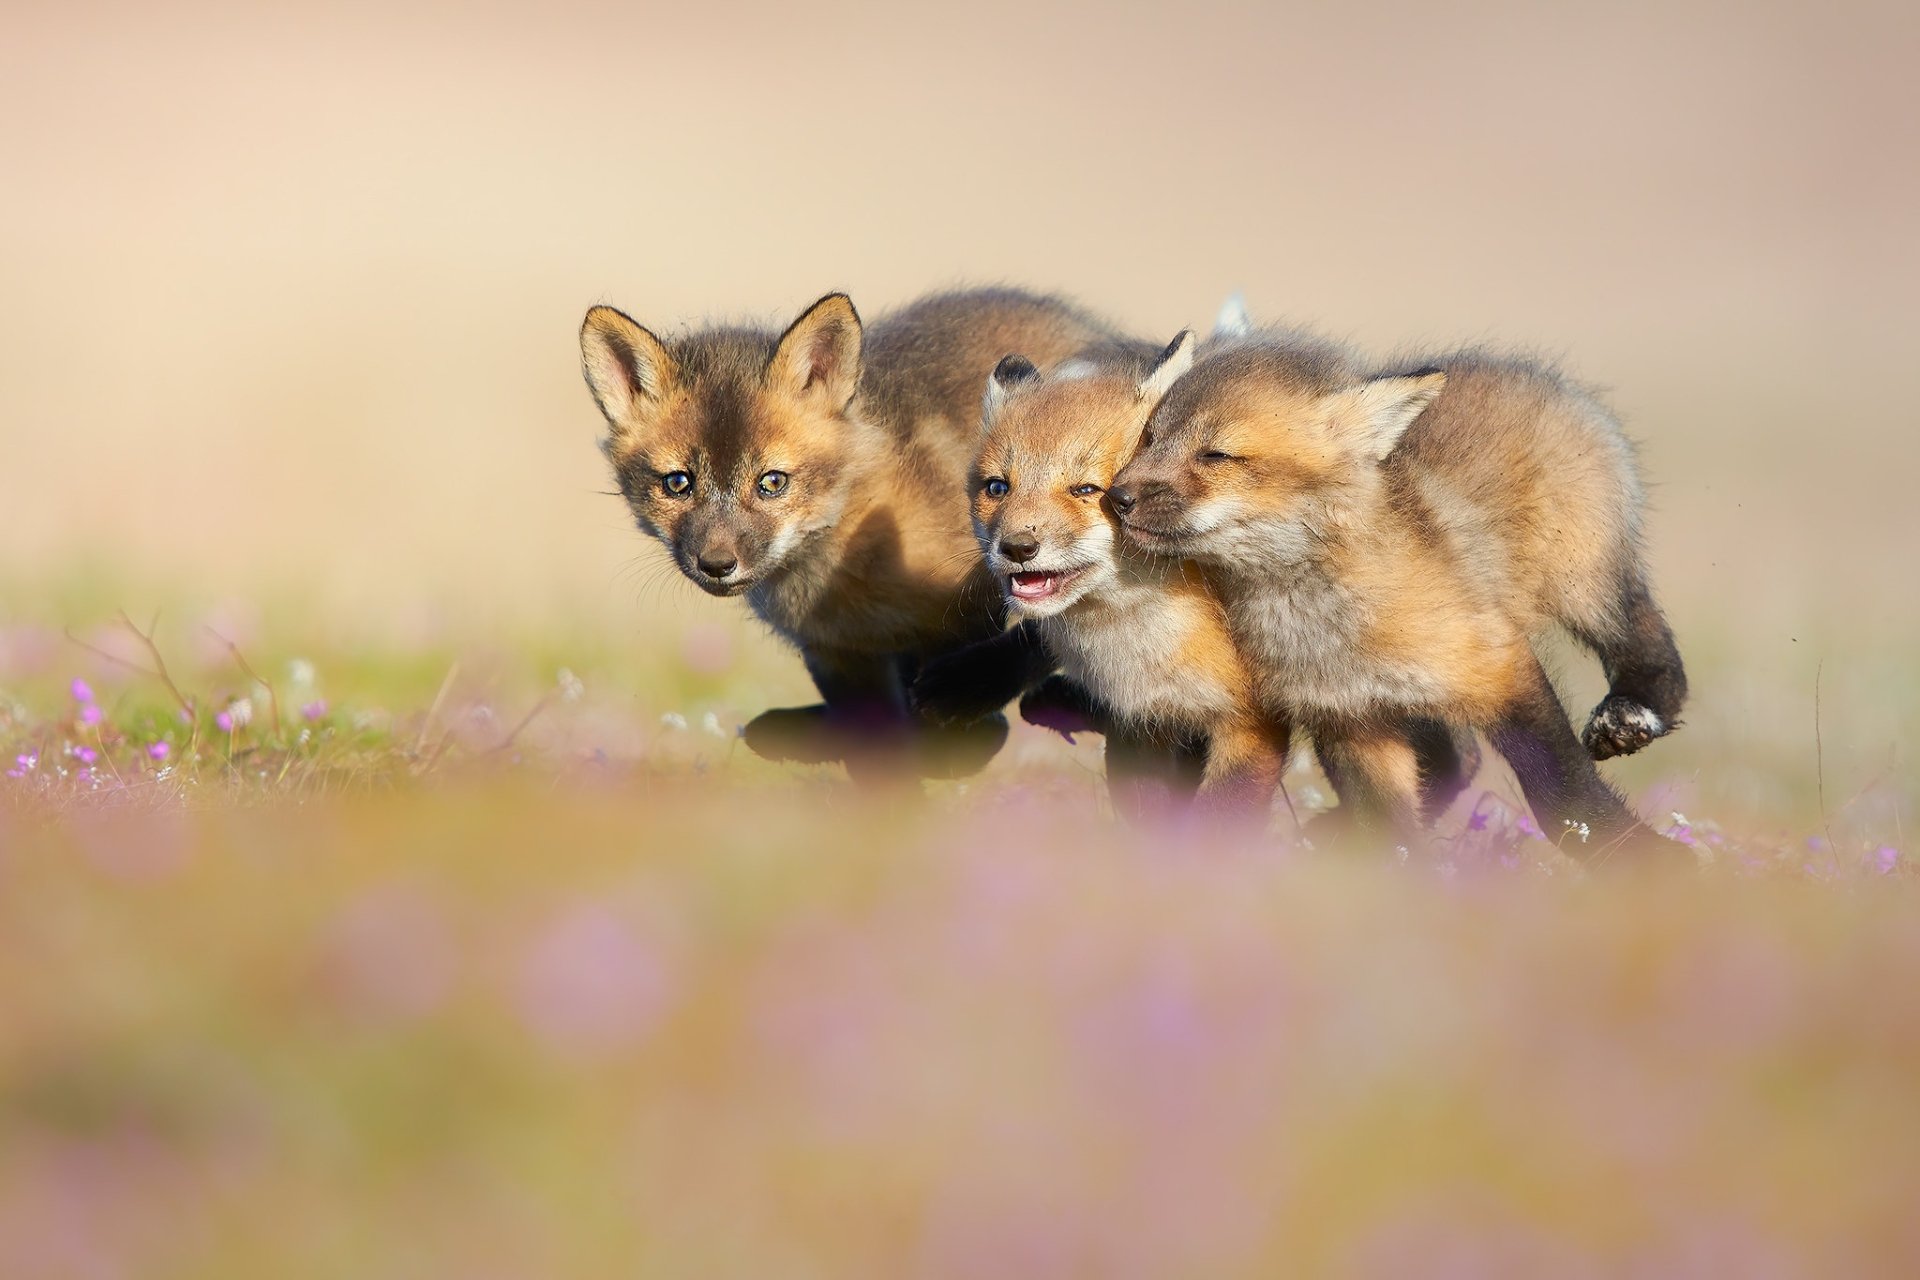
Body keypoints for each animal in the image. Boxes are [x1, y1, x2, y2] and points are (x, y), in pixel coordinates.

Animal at [578, 287, 1139, 777]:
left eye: (771, 482)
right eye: (678, 484)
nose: (717, 564)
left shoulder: (970, 608)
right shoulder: (838, 656)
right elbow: (879, 756)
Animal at [912, 332, 1480, 823]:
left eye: (1087, 490)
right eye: (997, 487)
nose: (1017, 548)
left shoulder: (1253, 725)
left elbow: (1217, 819)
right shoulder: (1143, 724)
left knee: (1458, 757)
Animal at [1107, 329, 1690, 857]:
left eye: (1217, 455)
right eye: (1149, 439)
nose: (1117, 496)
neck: (1321, 620)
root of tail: (1527, 370)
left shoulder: (1500, 667)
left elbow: (1562, 793)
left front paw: (1643, 861)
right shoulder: (1349, 717)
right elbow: (1386, 828)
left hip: (1584, 587)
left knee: (1651, 644)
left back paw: (1634, 712)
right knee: (1461, 760)